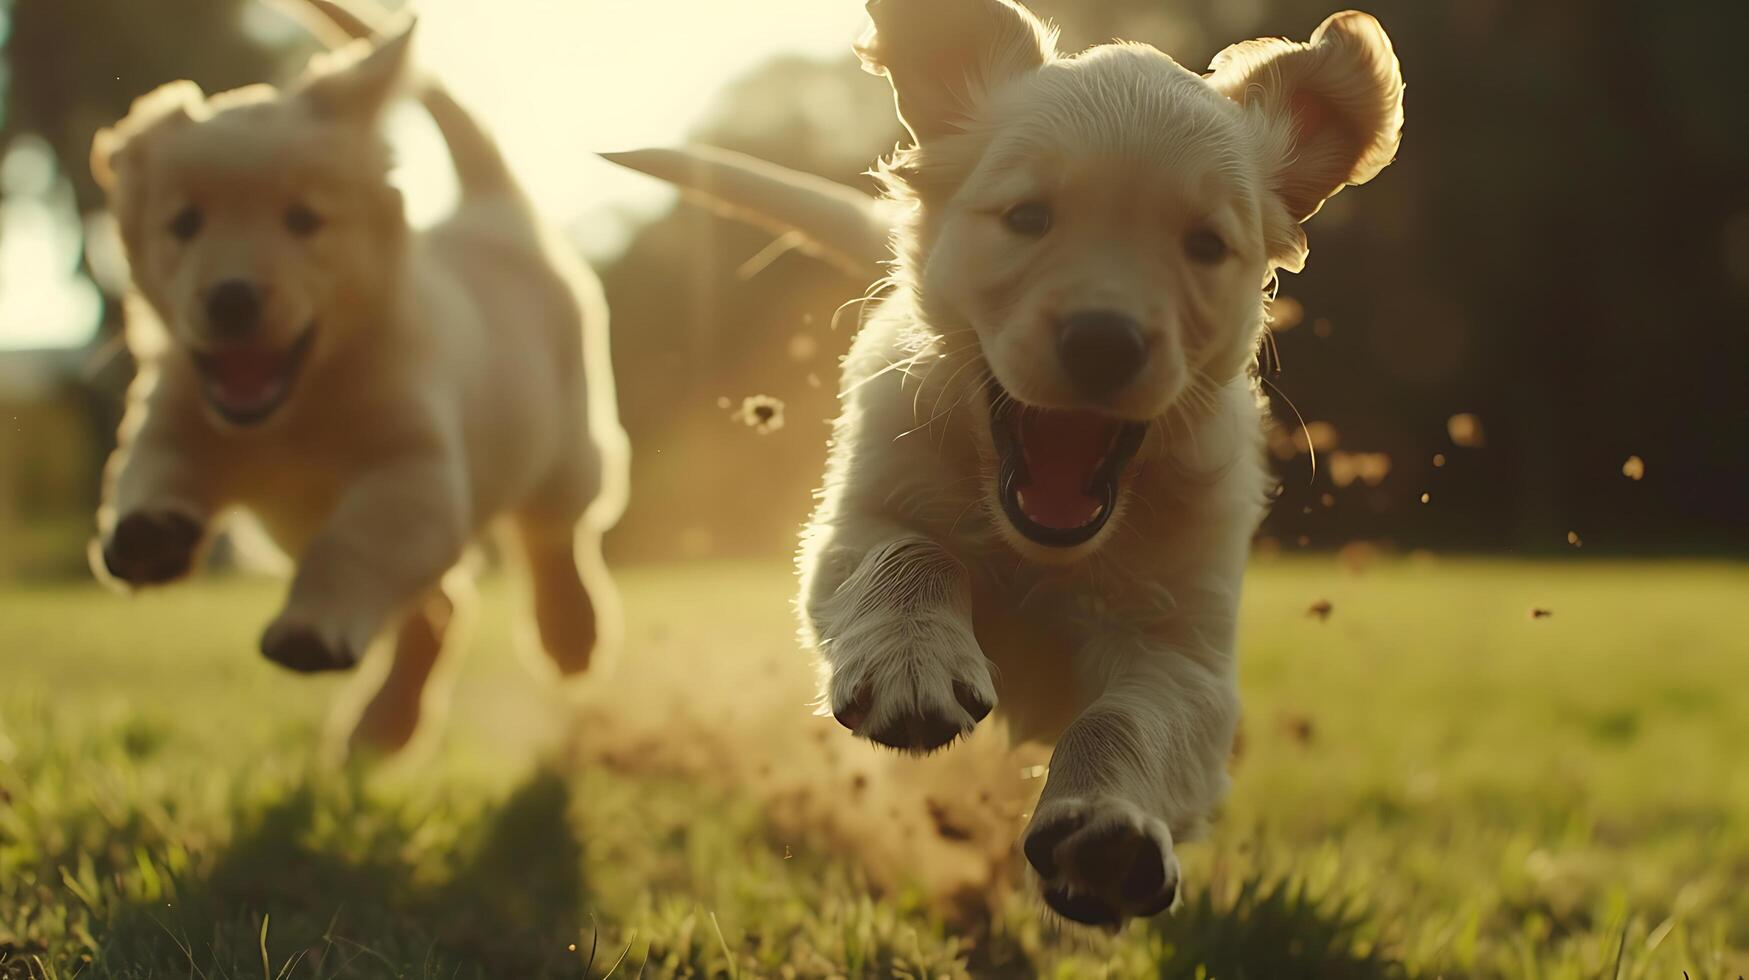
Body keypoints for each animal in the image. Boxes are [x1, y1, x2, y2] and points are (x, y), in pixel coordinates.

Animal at [92, 0, 629, 749]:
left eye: (303, 220)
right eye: (185, 223)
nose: (232, 299)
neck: (302, 399)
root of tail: (492, 209)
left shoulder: (413, 474)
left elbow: (355, 545)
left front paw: (311, 628)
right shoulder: (175, 418)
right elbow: (151, 472)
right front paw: (148, 536)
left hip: (568, 443)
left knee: (554, 535)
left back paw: (570, 633)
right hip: (290, 529)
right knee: (441, 605)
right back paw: (383, 726)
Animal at [608, 1, 1399, 924]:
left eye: (1205, 245)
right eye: (1027, 217)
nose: (1103, 341)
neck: (1037, 546)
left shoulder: (1189, 657)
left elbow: (1128, 720)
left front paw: (1106, 835)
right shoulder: (850, 524)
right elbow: (910, 553)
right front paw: (910, 664)